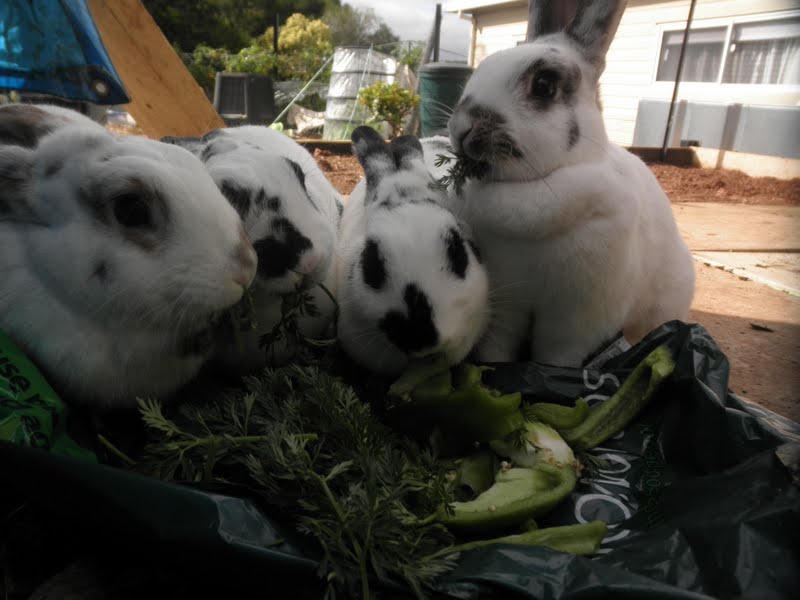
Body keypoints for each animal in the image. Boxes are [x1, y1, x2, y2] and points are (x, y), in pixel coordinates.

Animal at [446, 0, 695, 367]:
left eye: (544, 85)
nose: (461, 127)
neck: (535, 188)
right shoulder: (507, 306)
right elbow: (498, 346)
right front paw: (492, 370)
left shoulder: (575, 325)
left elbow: (556, 357)